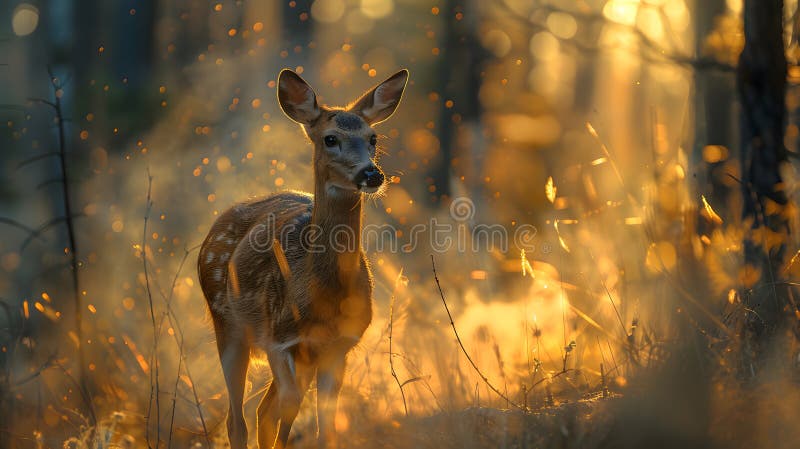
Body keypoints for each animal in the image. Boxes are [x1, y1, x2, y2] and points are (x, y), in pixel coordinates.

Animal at [197, 68, 409, 449]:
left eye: (372, 137)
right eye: (330, 138)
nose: (371, 174)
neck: (323, 295)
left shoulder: (339, 346)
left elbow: (326, 424)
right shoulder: (279, 340)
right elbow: (290, 406)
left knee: (263, 411)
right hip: (227, 324)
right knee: (239, 420)